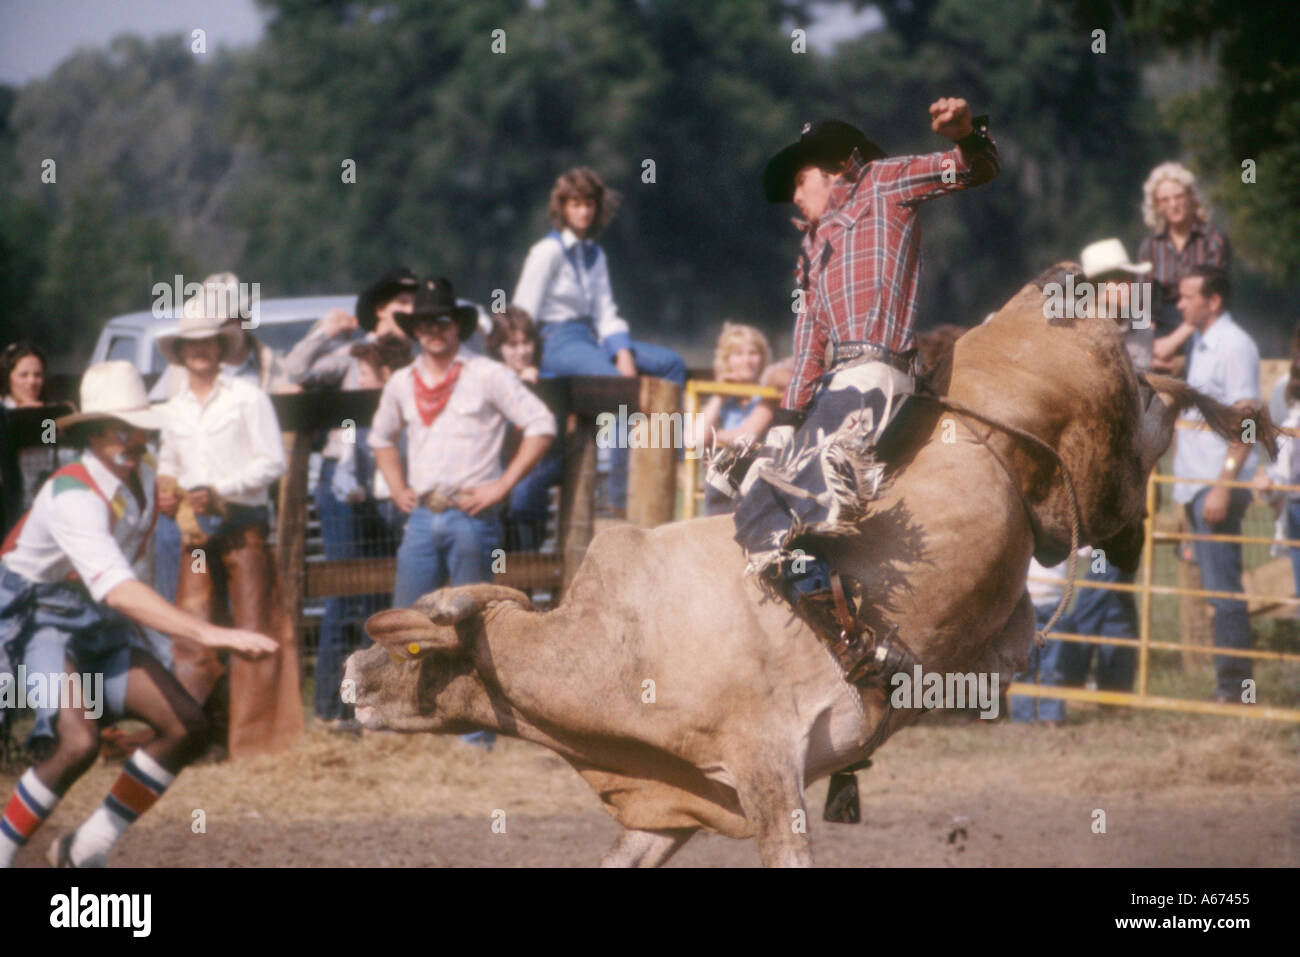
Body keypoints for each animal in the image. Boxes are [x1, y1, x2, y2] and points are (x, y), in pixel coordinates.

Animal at [344, 264, 1272, 866]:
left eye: (408, 645)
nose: (349, 674)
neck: (614, 644)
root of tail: (1040, 293)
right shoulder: (675, 801)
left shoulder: (769, 766)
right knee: (1155, 402)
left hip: (1104, 447)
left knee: (1157, 407)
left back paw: (1241, 415)